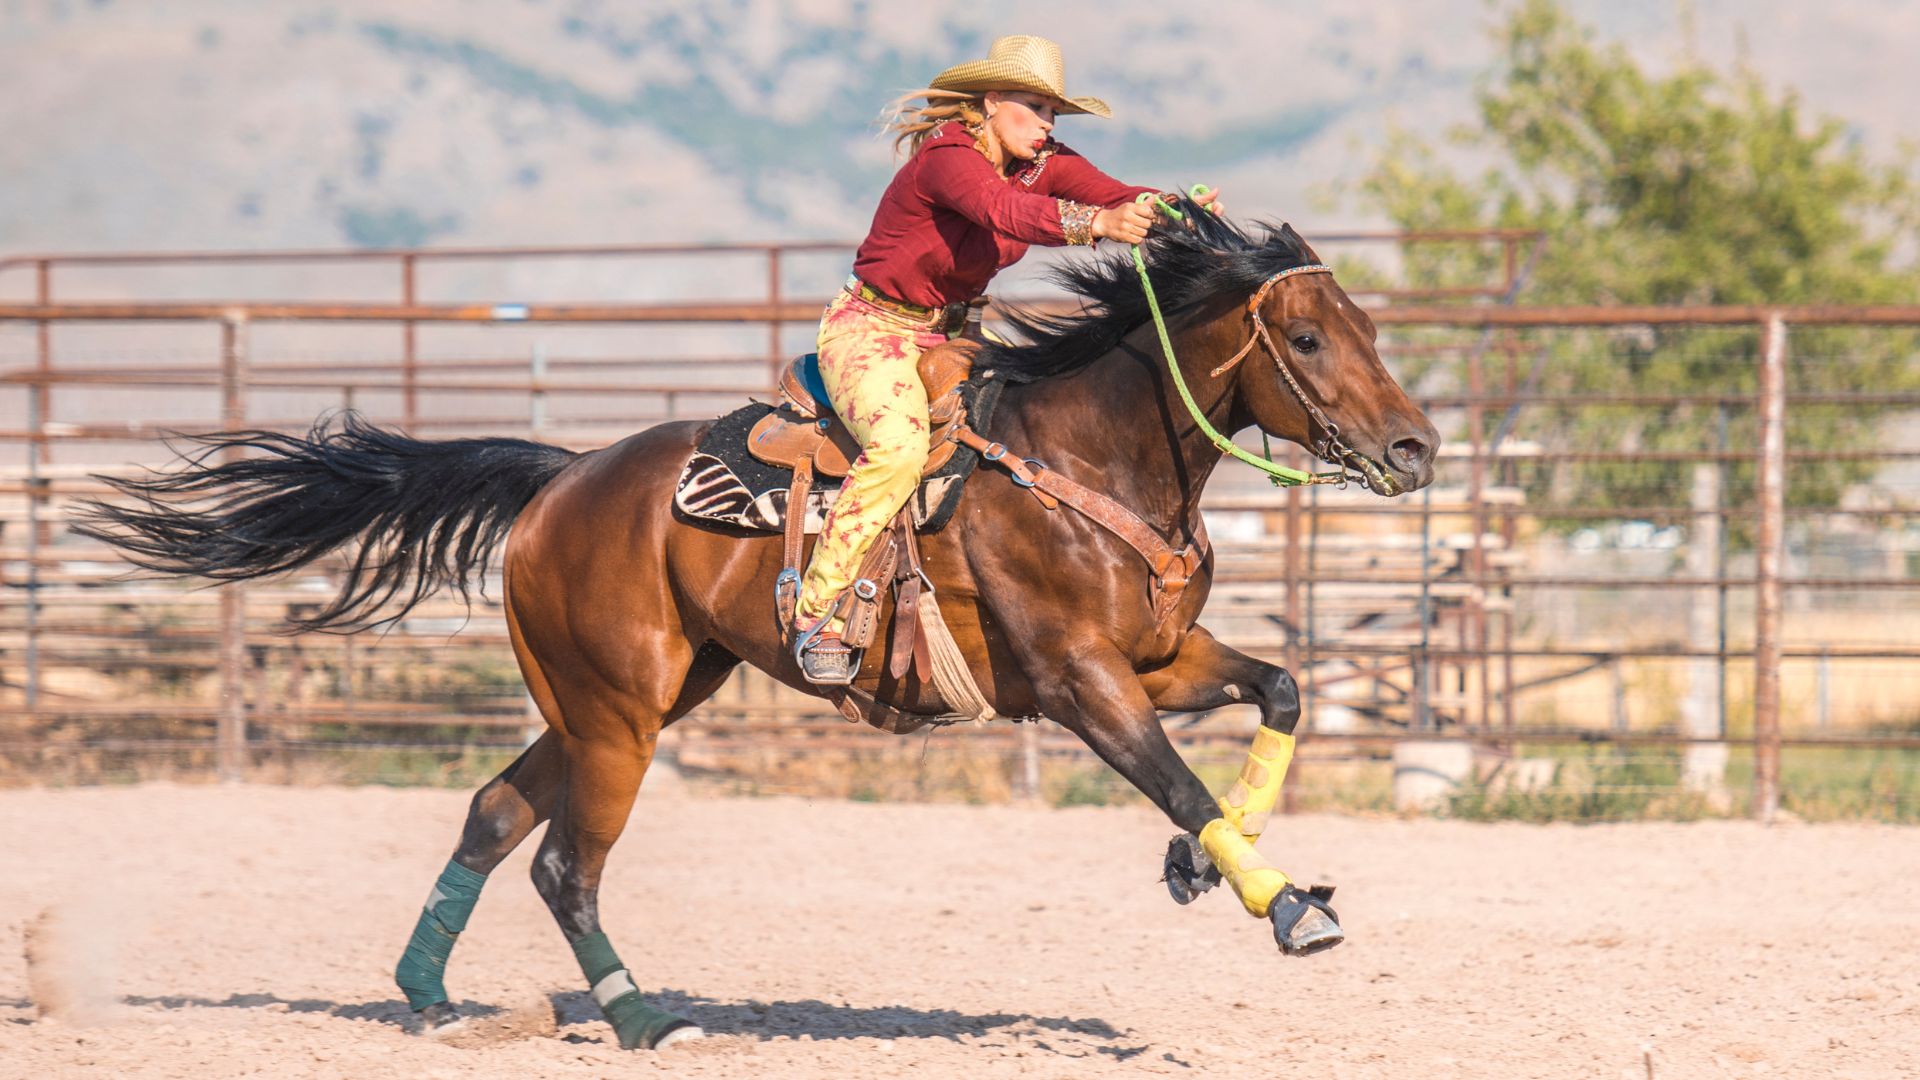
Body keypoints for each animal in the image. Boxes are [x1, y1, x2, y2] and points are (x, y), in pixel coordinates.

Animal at [81, 202, 1438, 1050]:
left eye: (1371, 329)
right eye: (1306, 336)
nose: (1418, 448)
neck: (1086, 459)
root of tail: (562, 479)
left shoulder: (1159, 661)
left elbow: (1278, 694)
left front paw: (1207, 864)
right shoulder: (1076, 680)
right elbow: (1177, 777)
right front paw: (1288, 907)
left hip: (627, 697)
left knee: (493, 811)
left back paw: (430, 994)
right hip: (619, 713)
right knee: (564, 863)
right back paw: (643, 1018)